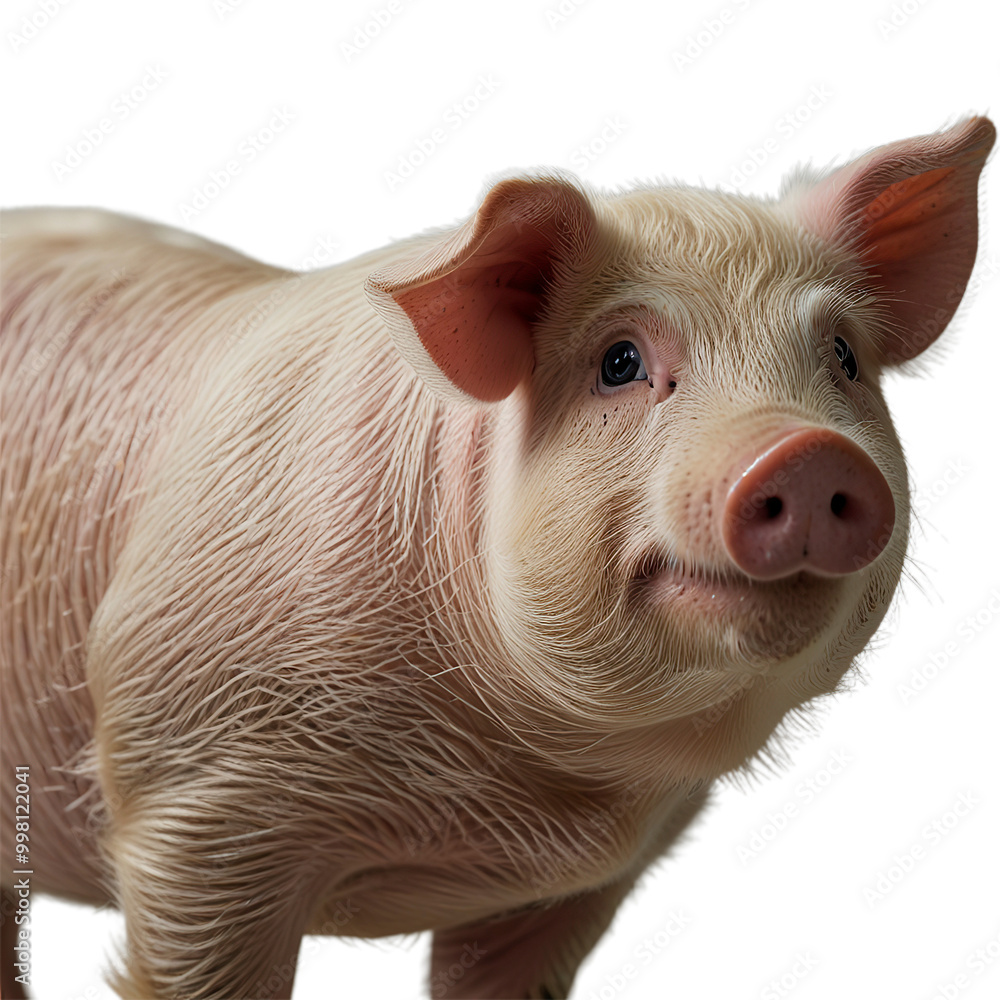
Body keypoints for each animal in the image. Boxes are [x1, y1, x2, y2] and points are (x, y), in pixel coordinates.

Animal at [0, 115, 994, 1000]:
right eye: (620, 361)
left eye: (843, 359)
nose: (806, 451)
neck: (533, 789)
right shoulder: (190, 795)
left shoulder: (577, 889)